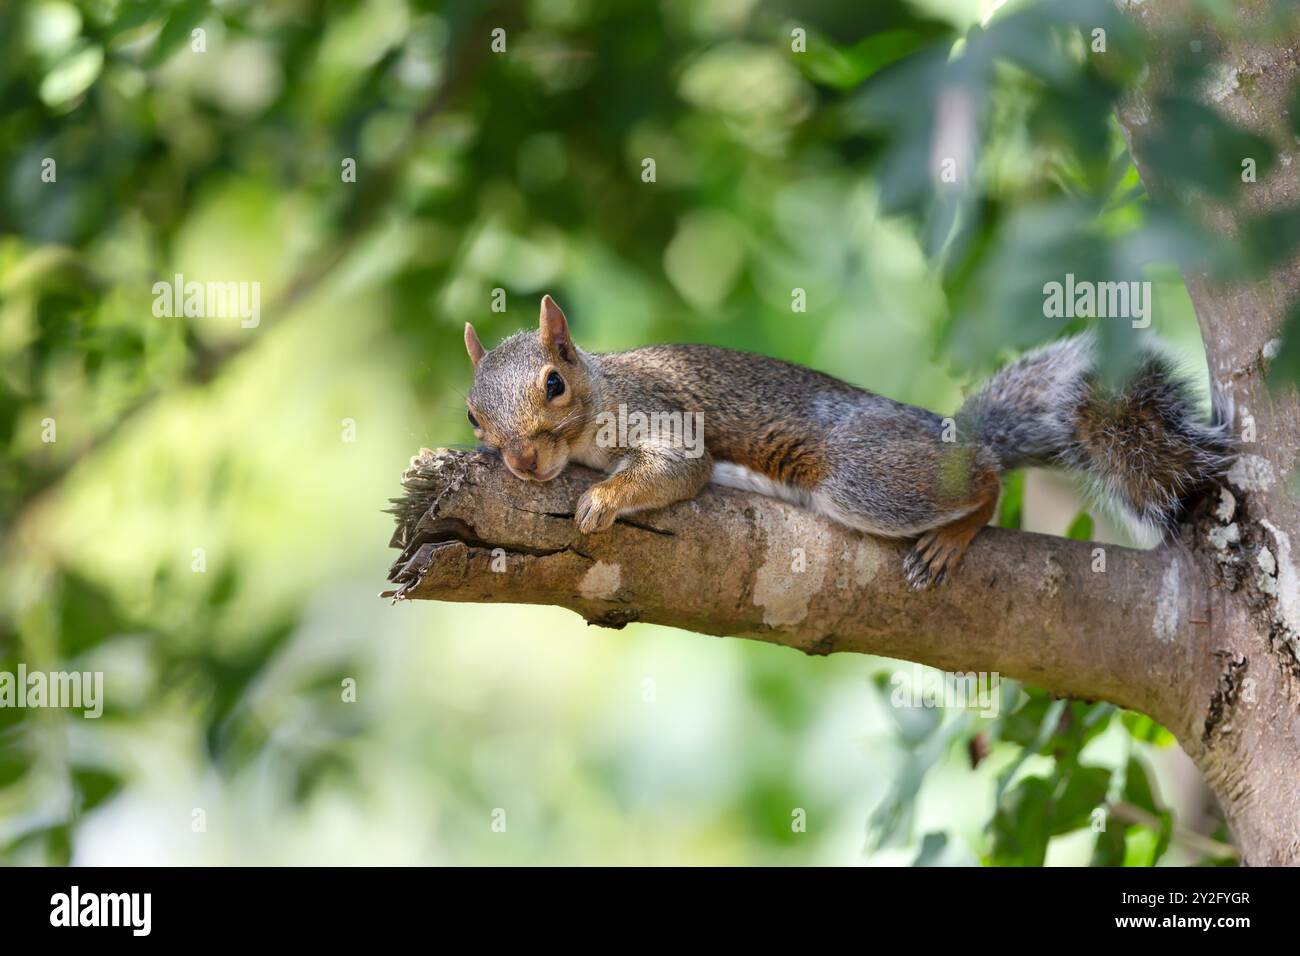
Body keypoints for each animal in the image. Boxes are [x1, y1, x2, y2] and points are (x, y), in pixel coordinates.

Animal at [462, 295, 1235, 588]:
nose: (523, 462)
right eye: (472, 416)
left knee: (983, 475)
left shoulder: (662, 413)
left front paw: (603, 499)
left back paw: (955, 533)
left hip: (864, 479)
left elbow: (681, 468)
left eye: (555, 384)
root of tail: (947, 433)